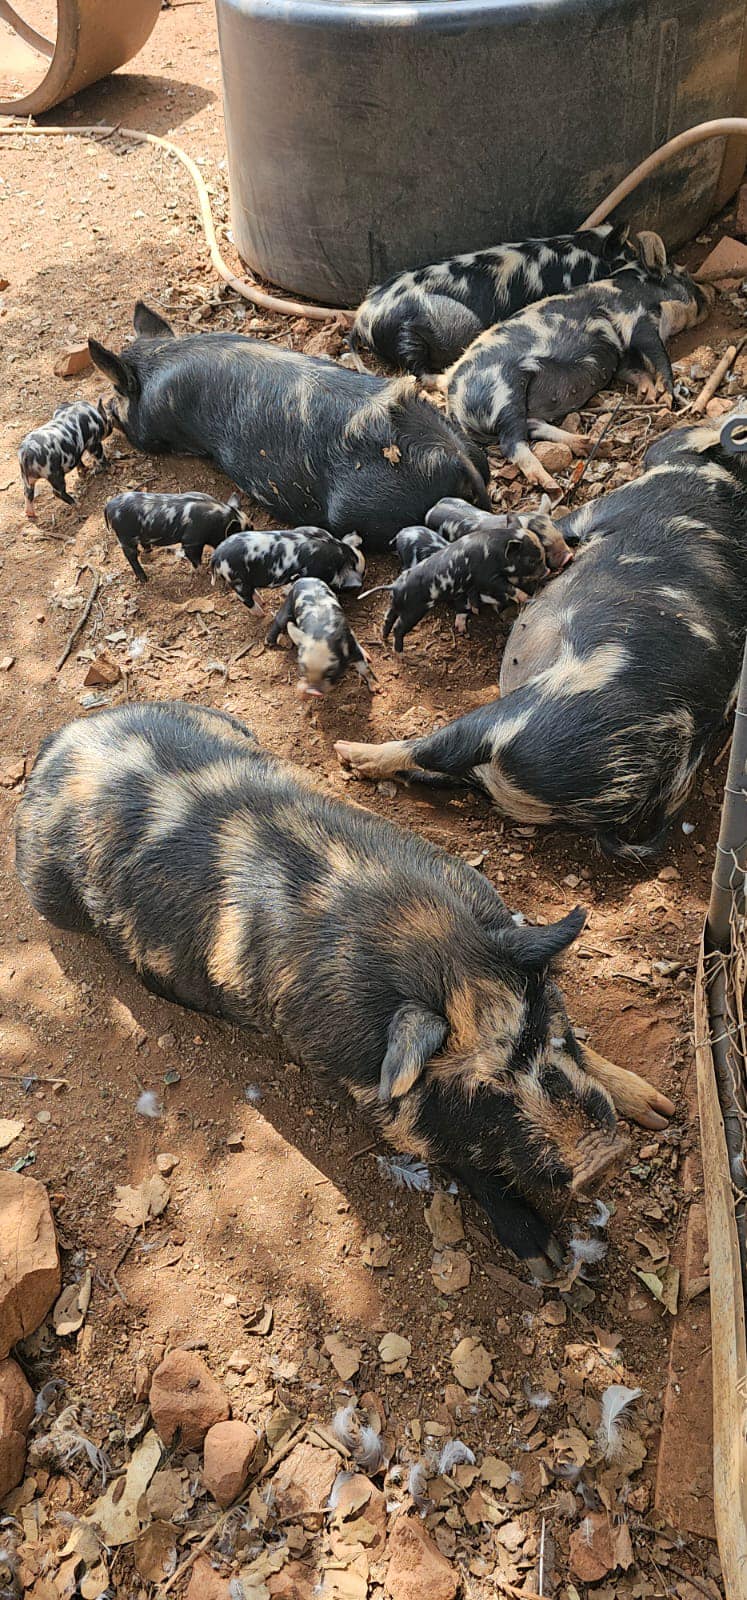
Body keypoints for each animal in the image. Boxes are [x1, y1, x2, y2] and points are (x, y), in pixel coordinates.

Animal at [15, 700, 674, 1276]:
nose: (603, 1159)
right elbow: (454, 1156)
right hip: (48, 895)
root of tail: (61, 739)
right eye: (484, 1091)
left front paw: (662, 1110)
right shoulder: (352, 1077)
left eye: (549, 1036)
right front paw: (548, 1261)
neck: (430, 947)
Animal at [104, 490, 250, 581]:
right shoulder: (191, 540)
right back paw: (144, 579)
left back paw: (149, 551)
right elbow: (195, 559)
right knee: (131, 555)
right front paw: (201, 573)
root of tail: (109, 506)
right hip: (125, 536)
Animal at [350, 222, 638, 375]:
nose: (647, 269)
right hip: (406, 334)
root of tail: (363, 316)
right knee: (415, 366)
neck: (583, 254)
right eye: (630, 254)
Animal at [380, 519, 550, 652]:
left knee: (388, 618)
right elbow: (505, 587)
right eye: (531, 560)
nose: (548, 571)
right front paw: (525, 597)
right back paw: (398, 651)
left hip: (396, 605)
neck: (493, 552)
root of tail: (394, 587)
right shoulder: (486, 576)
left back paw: (384, 639)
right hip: (413, 610)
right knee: (398, 627)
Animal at [435, 236, 713, 489]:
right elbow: (658, 355)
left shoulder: (619, 352)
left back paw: (594, 445)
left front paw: (648, 393)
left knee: (532, 426)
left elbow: (632, 370)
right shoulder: (638, 319)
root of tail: (453, 405)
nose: (712, 294)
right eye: (684, 274)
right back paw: (550, 484)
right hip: (504, 390)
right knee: (512, 443)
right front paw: (666, 396)